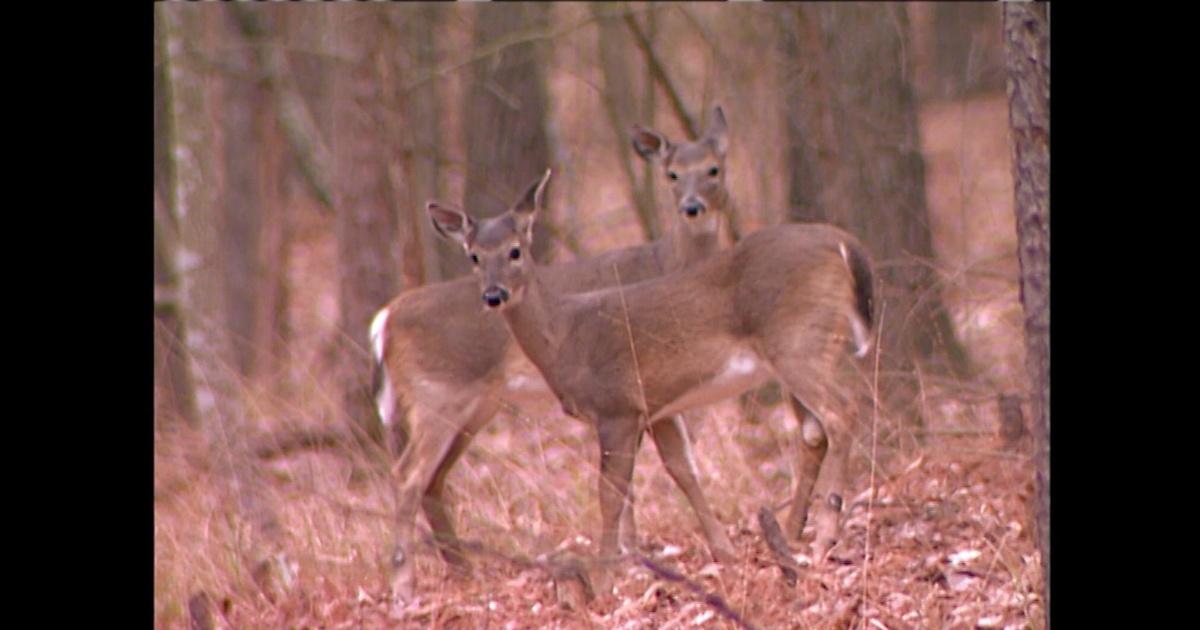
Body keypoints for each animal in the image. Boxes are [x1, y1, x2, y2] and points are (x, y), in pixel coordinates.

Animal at [373, 108, 741, 606]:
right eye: (672, 174)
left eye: (714, 169)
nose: (692, 207)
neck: (668, 264)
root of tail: (387, 318)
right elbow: (661, 471)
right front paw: (638, 557)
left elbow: (670, 468)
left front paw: (639, 554)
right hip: (438, 393)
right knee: (407, 475)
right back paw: (405, 588)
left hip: (473, 404)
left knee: (432, 477)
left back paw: (466, 572)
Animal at [428, 169, 876, 597]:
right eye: (473, 256)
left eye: (515, 250)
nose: (493, 294)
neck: (565, 338)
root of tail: (843, 242)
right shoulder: (658, 407)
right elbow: (681, 470)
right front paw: (724, 553)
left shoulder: (617, 407)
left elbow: (610, 494)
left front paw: (605, 580)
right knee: (821, 425)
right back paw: (801, 532)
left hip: (797, 342)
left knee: (841, 412)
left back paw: (824, 536)